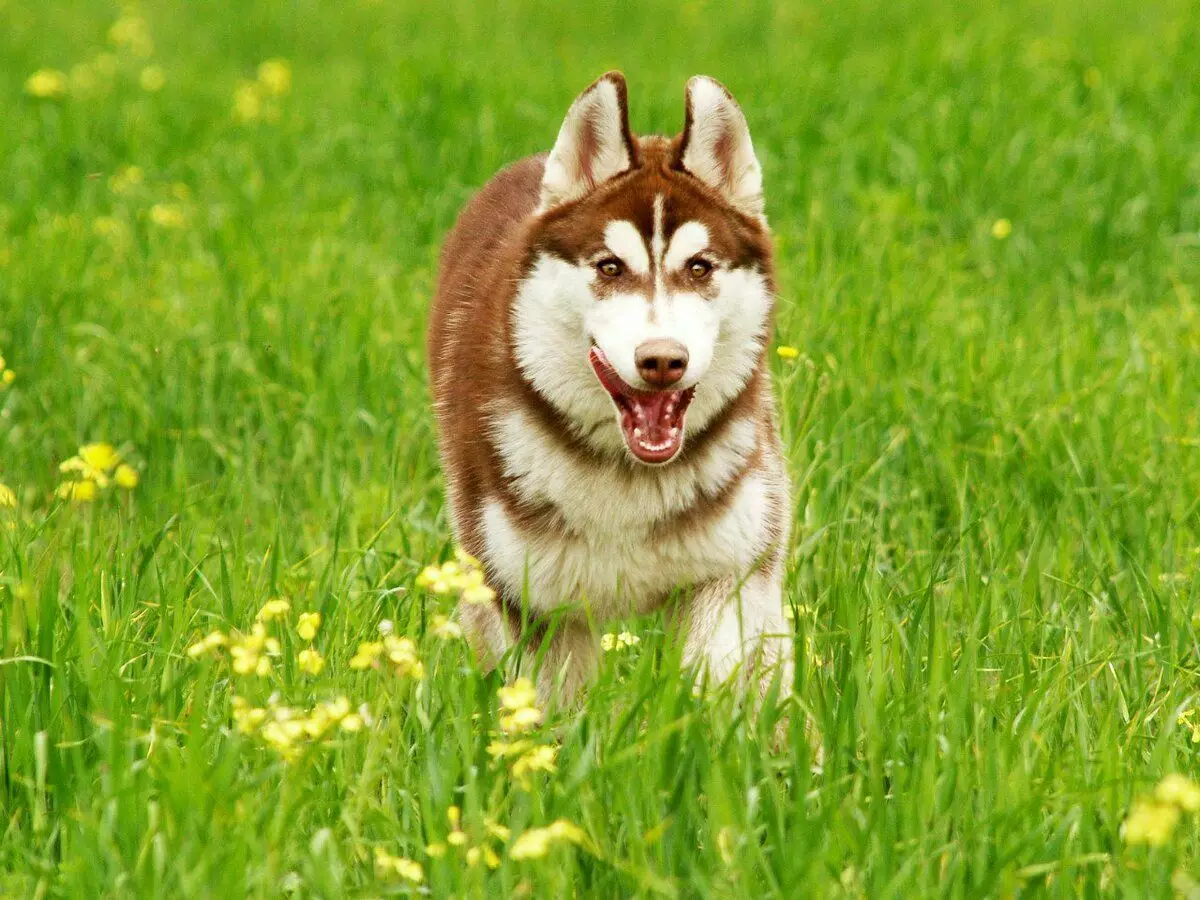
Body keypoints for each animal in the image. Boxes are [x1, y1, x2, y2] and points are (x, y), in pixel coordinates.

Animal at [427, 72, 792, 705]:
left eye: (699, 267)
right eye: (610, 267)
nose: (662, 361)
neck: (626, 478)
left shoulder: (730, 573)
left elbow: (708, 692)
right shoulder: (534, 602)